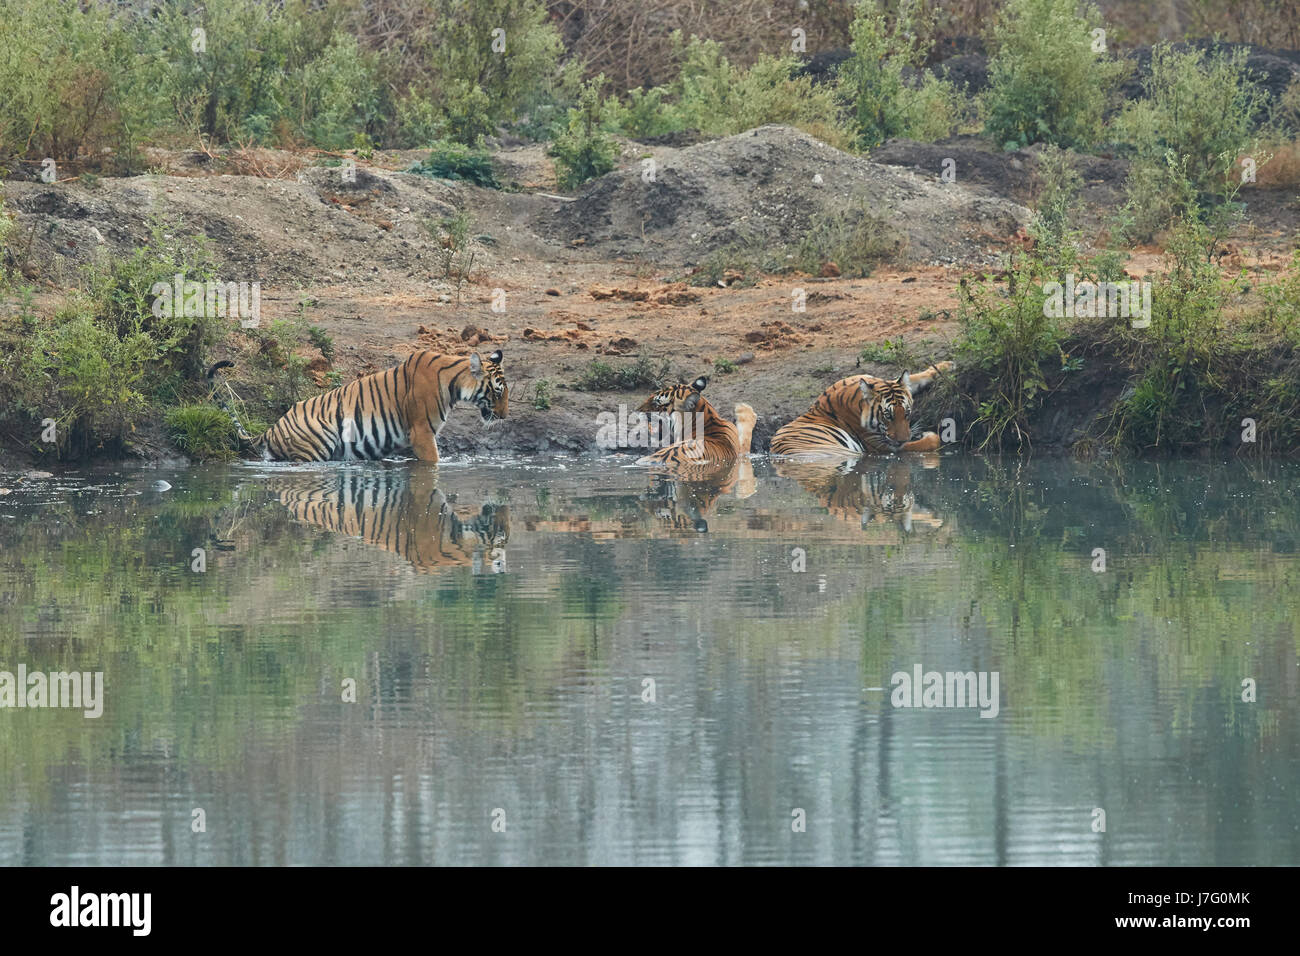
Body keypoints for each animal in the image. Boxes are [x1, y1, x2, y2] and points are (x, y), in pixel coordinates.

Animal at [207, 348, 508, 462]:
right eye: (498, 391)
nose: (505, 417)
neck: (453, 382)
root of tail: (271, 428)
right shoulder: (421, 432)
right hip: (319, 439)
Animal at [769, 361, 954, 458]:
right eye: (887, 416)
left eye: (907, 413)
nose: (903, 440)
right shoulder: (881, 445)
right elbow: (927, 443)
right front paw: (928, 435)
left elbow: (915, 378)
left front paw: (946, 366)